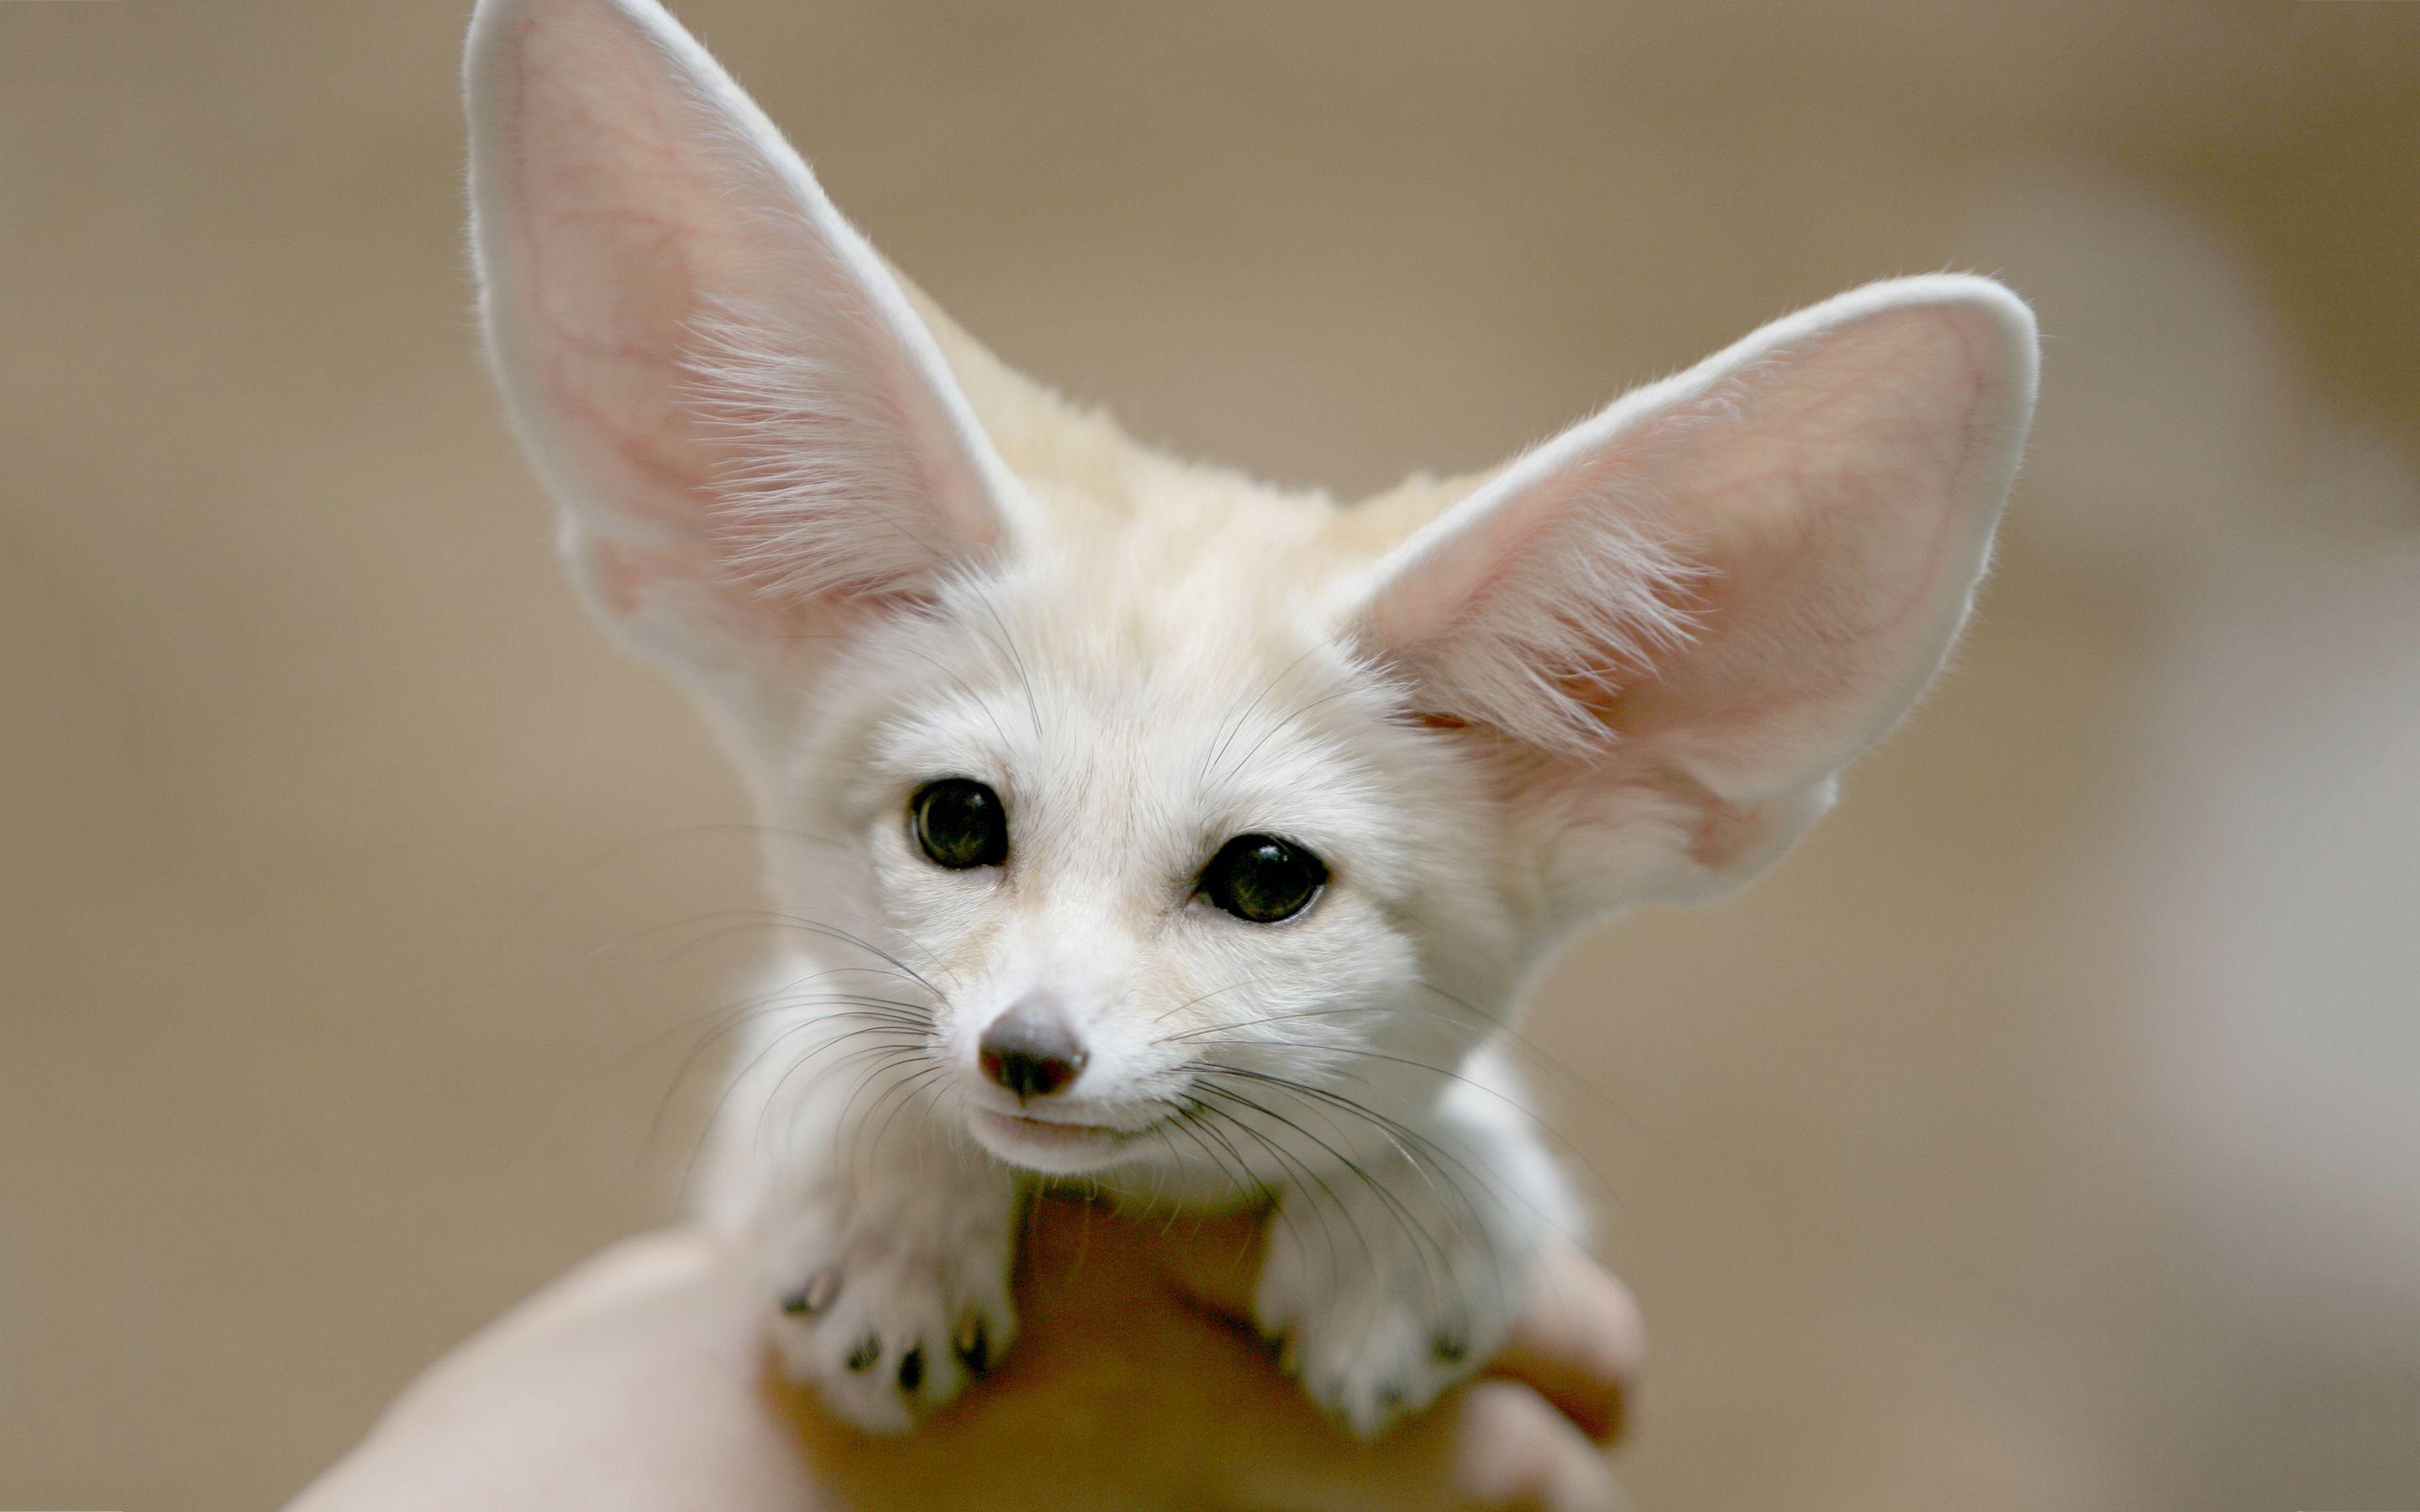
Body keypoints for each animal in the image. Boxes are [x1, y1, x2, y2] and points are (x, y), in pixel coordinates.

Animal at [463, 0, 2037, 1438]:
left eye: (1268, 880)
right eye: (957, 822)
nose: (1026, 1052)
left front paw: (1418, 1209)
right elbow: (837, 1041)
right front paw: (890, 1208)